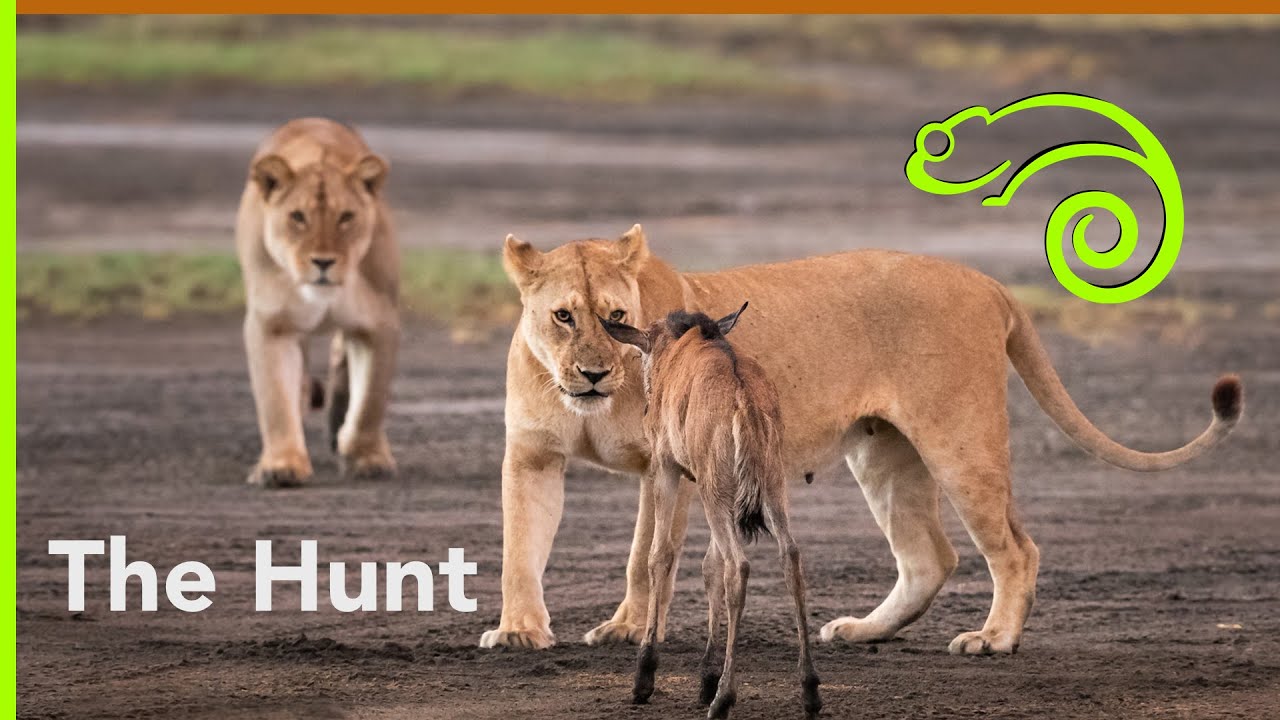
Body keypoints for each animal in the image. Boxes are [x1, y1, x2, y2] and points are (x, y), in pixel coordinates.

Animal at [235, 118, 400, 488]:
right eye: (297, 217)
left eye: (346, 217)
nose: (323, 262)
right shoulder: (271, 325)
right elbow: (275, 399)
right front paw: (281, 466)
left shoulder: (378, 322)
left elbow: (370, 401)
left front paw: (365, 457)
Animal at [479, 224, 1242, 654]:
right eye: (563, 316)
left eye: (615, 317)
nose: (595, 372)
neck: (583, 403)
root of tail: (988, 282)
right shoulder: (531, 459)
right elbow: (520, 548)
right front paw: (518, 630)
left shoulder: (664, 468)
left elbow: (645, 557)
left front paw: (631, 628)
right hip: (882, 452)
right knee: (930, 558)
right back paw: (861, 631)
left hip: (959, 441)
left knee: (1015, 549)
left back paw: (994, 639)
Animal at [600, 303, 822, 720]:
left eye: (642, 355)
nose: (647, 405)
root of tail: (744, 399)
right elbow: (708, 566)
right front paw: (704, 676)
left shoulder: (666, 468)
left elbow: (660, 555)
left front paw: (645, 675)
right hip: (767, 487)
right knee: (790, 557)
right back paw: (810, 689)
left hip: (714, 489)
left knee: (738, 566)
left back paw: (724, 698)